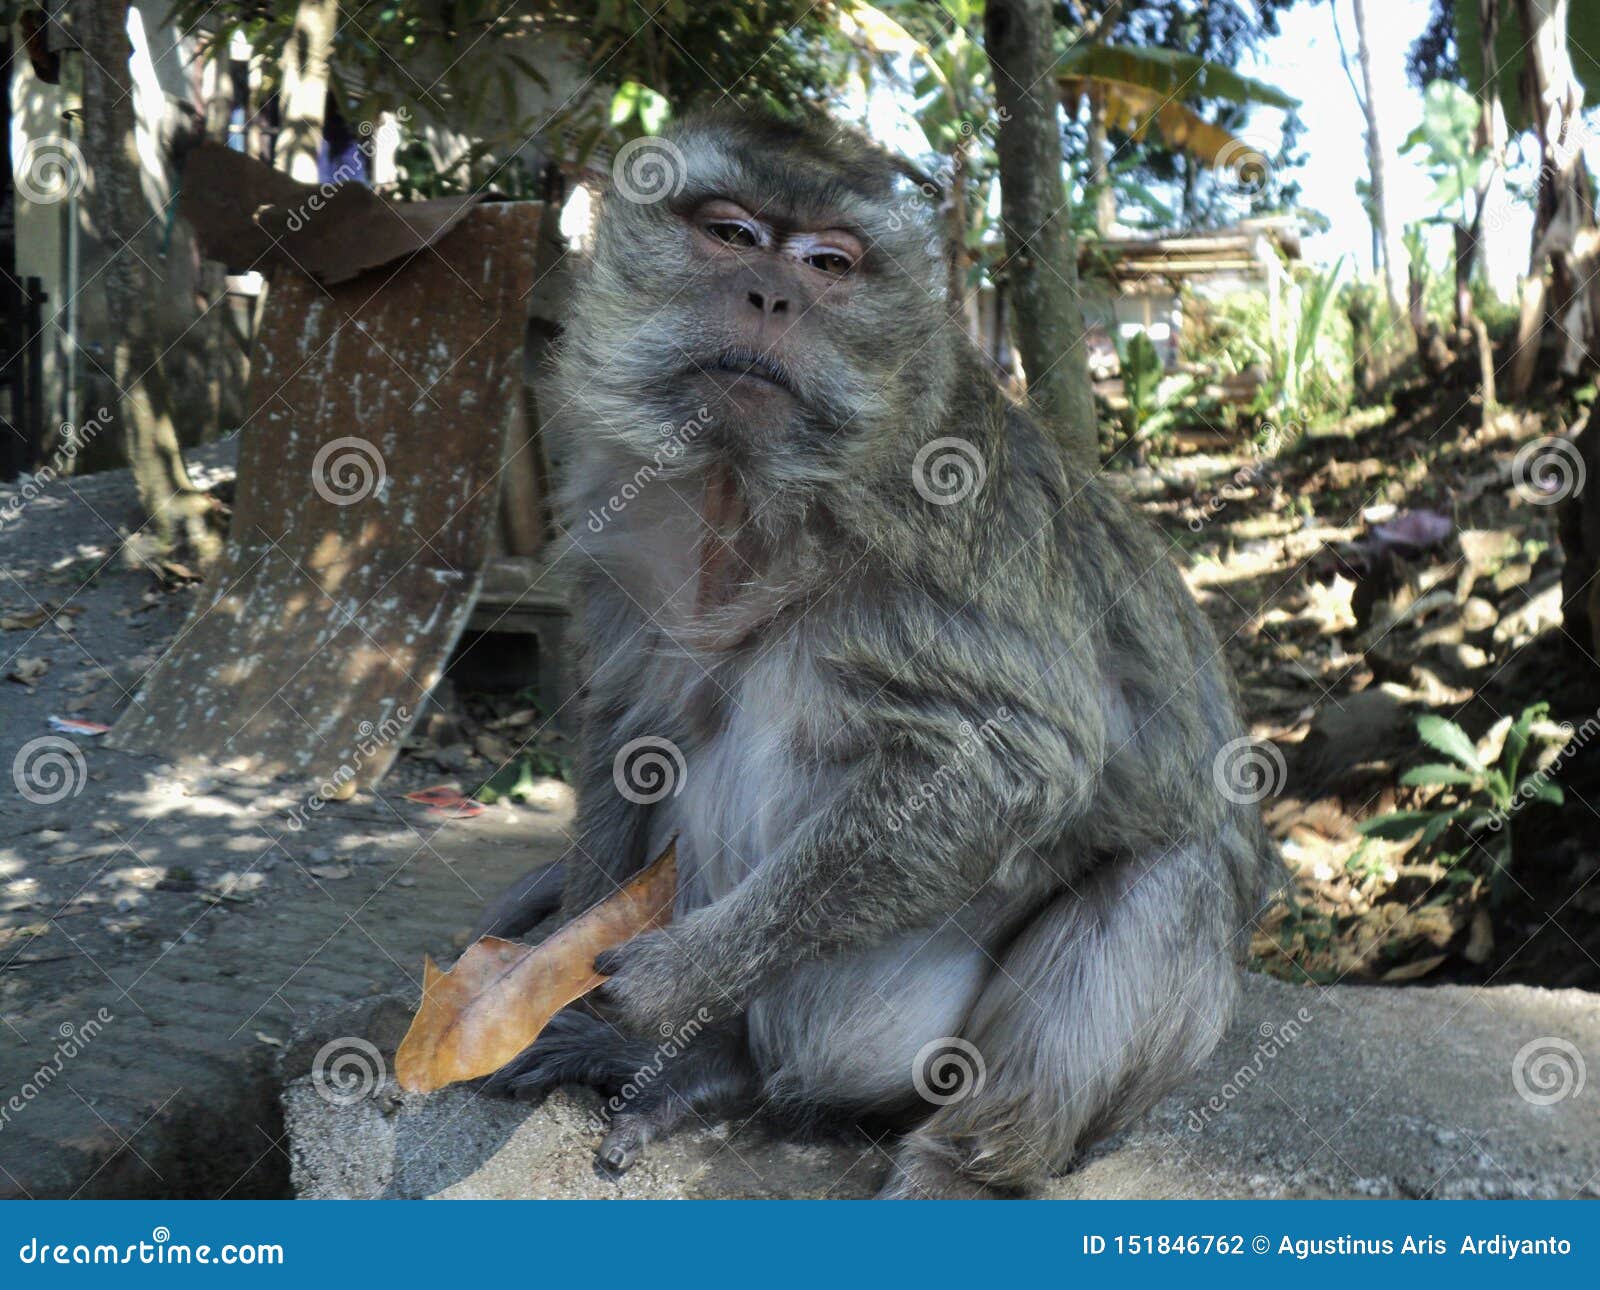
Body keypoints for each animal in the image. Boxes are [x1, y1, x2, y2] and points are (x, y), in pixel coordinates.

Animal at [472, 110, 1279, 1198]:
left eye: (828, 263)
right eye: (730, 234)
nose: (770, 295)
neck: (746, 493)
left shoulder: (937, 525)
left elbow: (1017, 762)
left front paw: (676, 973)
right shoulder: (622, 516)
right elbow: (629, 727)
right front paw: (562, 964)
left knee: (1168, 881)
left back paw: (959, 1164)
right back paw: (705, 1066)